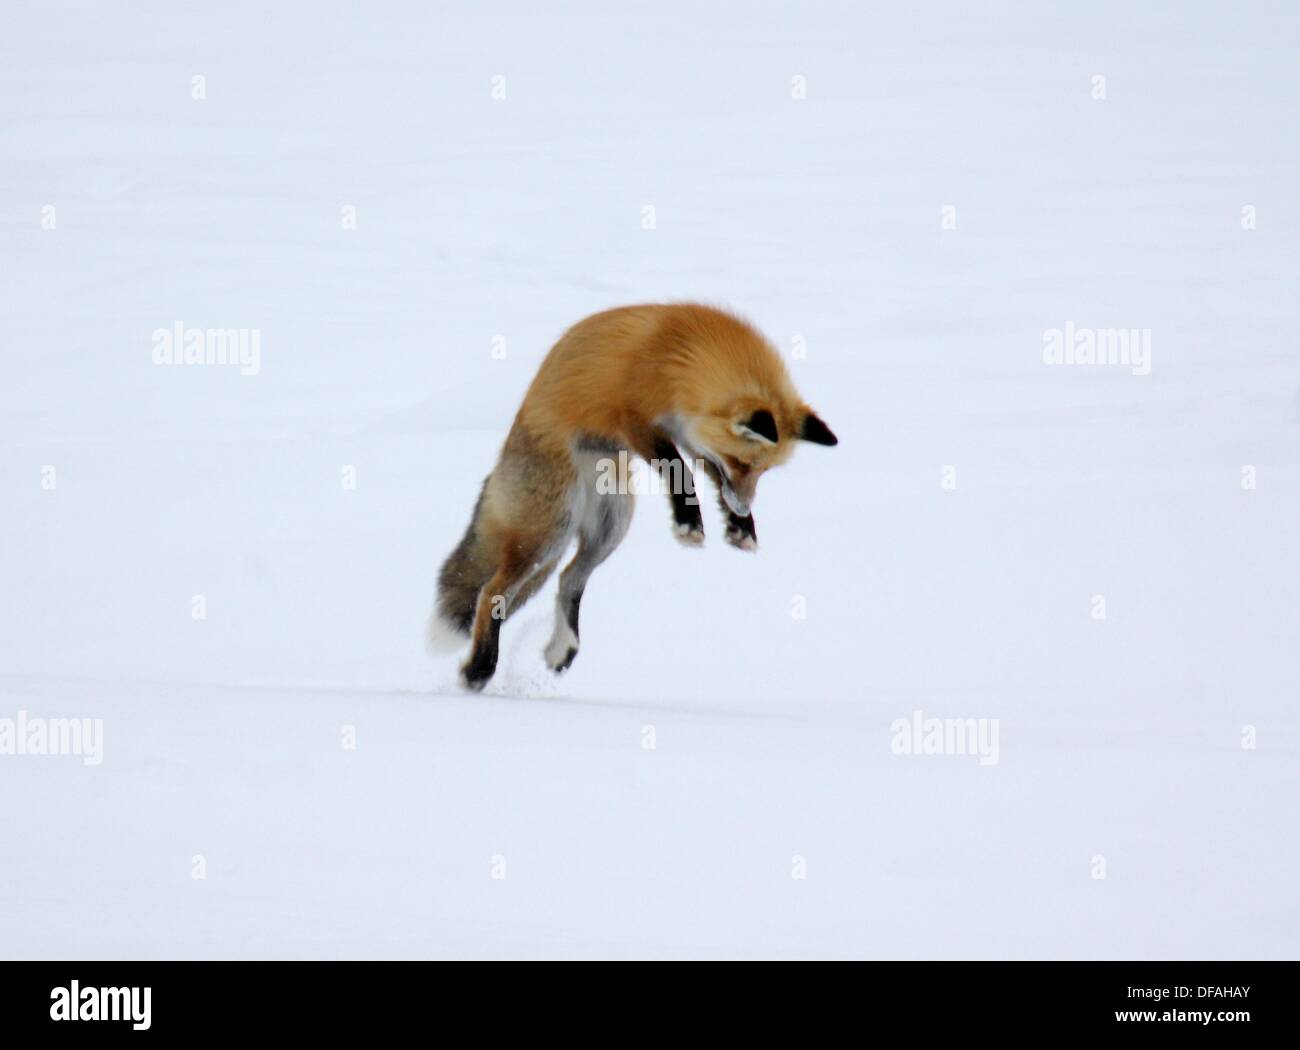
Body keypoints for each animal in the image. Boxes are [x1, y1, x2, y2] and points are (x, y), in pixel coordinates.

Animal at [429, 303, 837, 691]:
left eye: (763, 470)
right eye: (744, 462)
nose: (745, 505)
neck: (682, 352)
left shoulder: (693, 436)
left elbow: (710, 476)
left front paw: (740, 526)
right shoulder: (637, 419)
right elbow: (679, 470)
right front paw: (690, 523)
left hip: (610, 527)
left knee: (568, 580)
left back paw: (563, 647)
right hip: (551, 531)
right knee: (491, 593)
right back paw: (479, 670)